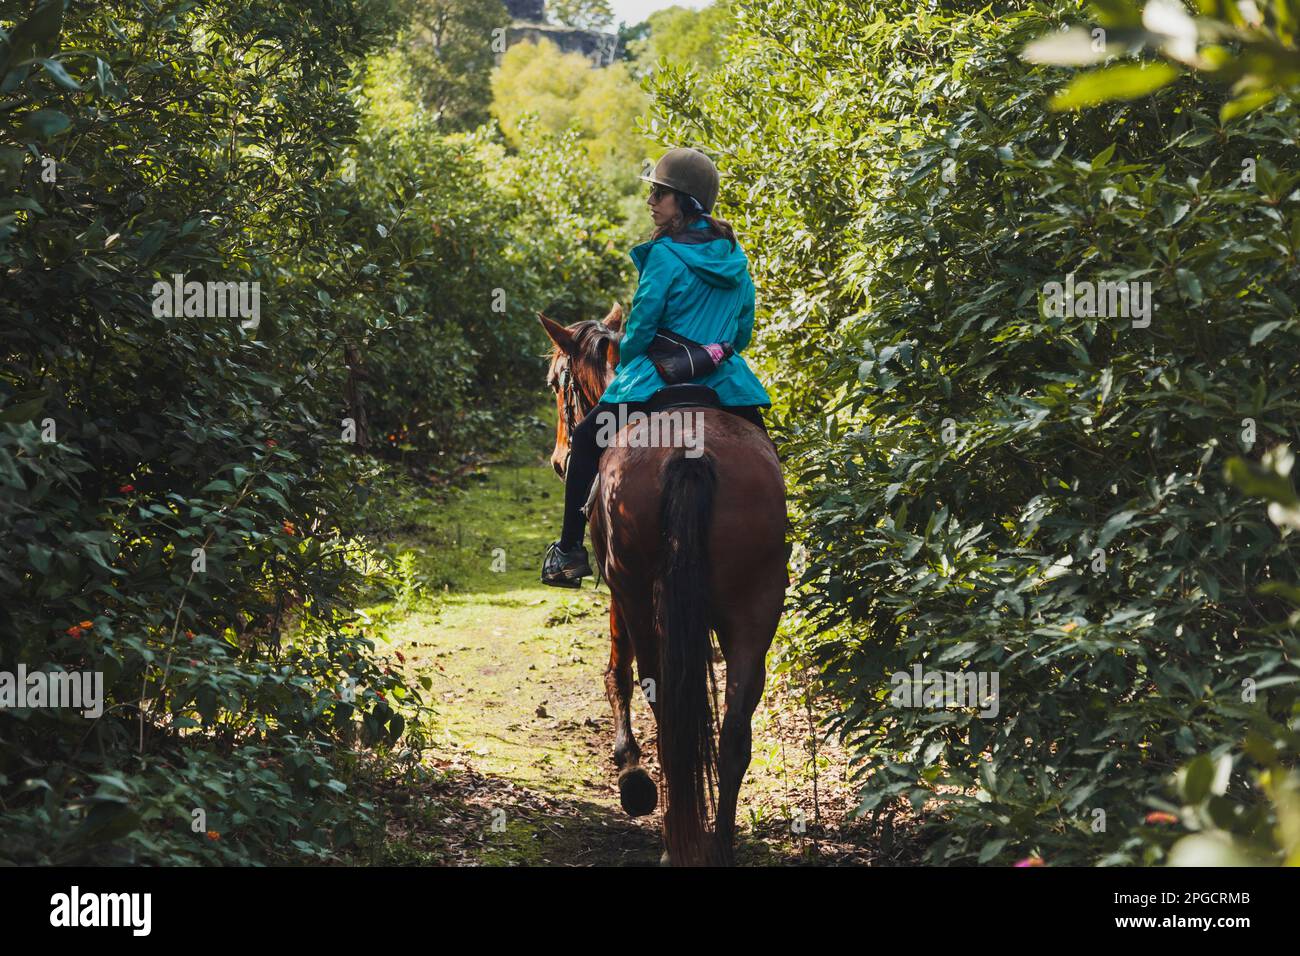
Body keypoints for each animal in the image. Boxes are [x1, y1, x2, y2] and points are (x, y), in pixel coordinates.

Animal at [539, 304, 788, 866]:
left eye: (557, 383)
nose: (561, 461)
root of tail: (691, 453)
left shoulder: (618, 589)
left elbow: (617, 673)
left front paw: (631, 774)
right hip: (756, 606)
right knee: (734, 729)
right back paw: (717, 845)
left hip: (636, 591)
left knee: (665, 706)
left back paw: (677, 840)